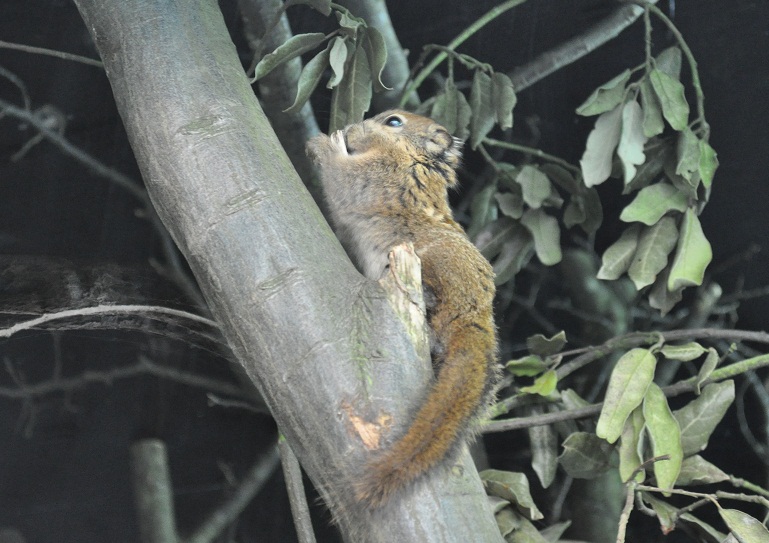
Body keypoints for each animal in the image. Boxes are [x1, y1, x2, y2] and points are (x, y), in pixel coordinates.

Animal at [307, 110, 498, 508]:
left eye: (394, 121)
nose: (352, 127)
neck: (412, 158)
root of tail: (476, 318)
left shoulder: (381, 174)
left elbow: (343, 179)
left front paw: (322, 145)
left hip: (436, 263)